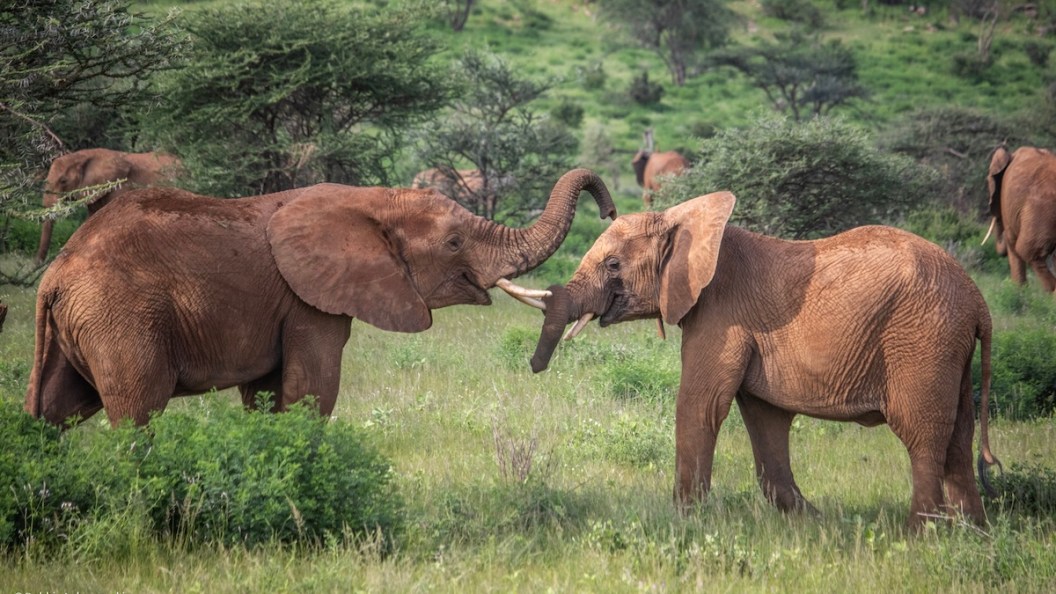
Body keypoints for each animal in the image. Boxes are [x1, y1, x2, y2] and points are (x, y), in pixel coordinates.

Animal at [25, 168, 615, 428]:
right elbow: (312, 392)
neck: (371, 201)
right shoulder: (308, 301)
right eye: (453, 243)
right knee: (136, 410)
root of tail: (55, 276)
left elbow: (266, 398)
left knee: (53, 412)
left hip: (81, 323)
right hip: (119, 317)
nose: (609, 210)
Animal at [528, 192, 1001, 530]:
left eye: (612, 265)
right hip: (947, 347)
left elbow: (699, 405)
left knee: (923, 435)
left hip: (922, 339)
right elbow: (765, 418)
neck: (687, 222)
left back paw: (921, 535)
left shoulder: (721, 316)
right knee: (959, 438)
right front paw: (816, 524)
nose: (535, 367)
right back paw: (972, 533)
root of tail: (979, 301)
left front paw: (684, 522)